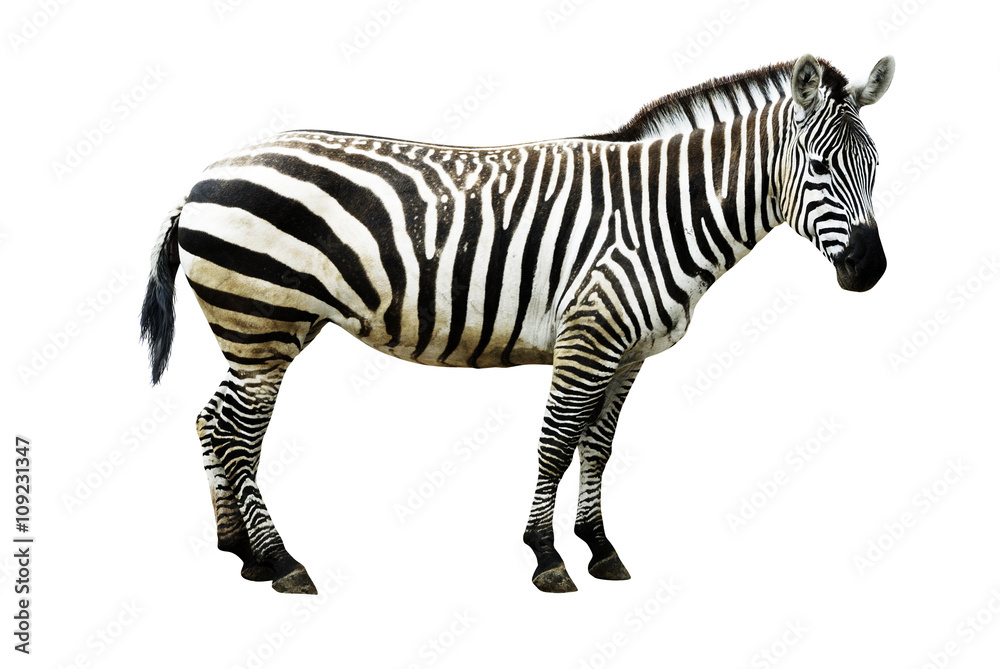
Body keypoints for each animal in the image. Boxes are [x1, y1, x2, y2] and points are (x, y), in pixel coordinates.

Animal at [141, 54, 894, 594]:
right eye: (820, 166)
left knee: (213, 421)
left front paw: (600, 547)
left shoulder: (629, 351)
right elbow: (556, 444)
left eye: (879, 166)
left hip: (268, 328)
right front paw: (546, 556)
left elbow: (598, 447)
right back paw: (281, 561)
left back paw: (240, 552)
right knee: (240, 435)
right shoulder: (590, 336)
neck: (663, 215)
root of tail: (205, 175)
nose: (871, 270)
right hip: (260, 319)